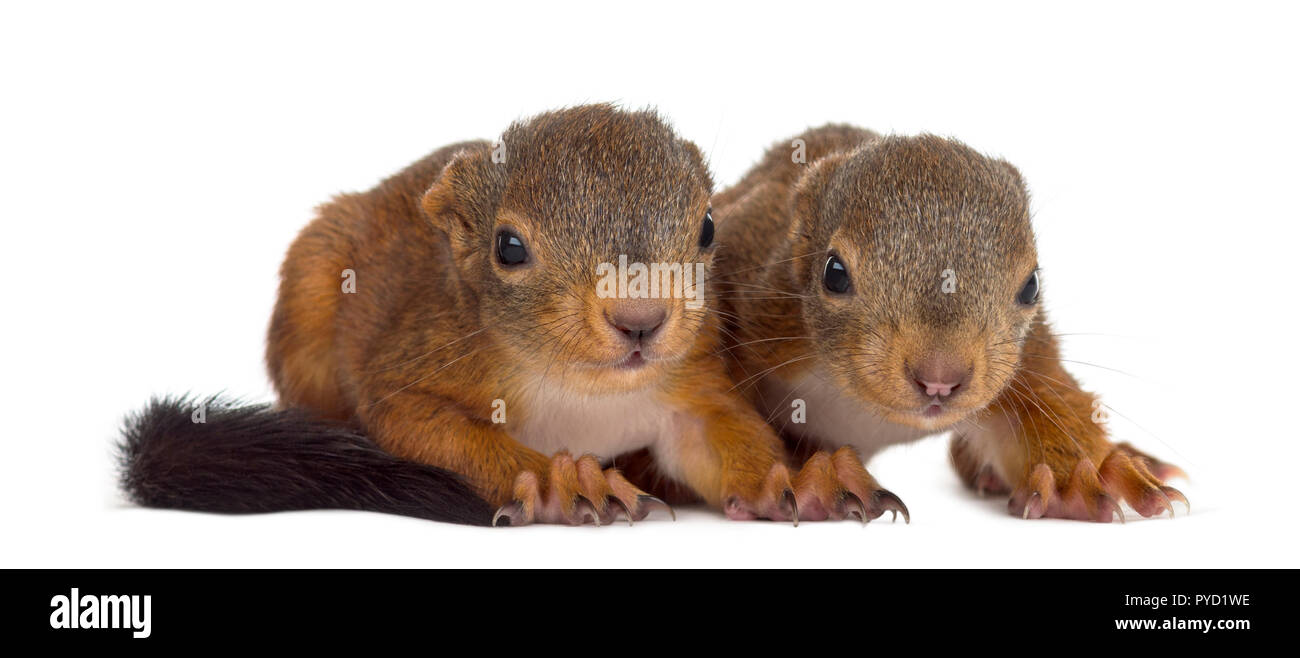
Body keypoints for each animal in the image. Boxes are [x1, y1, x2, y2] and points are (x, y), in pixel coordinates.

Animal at [118, 105, 891, 526]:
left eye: (706, 229)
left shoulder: (690, 388)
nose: (639, 319)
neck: (585, 390)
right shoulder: (420, 367)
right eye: (508, 247)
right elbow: (431, 428)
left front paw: (800, 484)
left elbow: (724, 443)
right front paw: (557, 482)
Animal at [711, 125, 1188, 522]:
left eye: (1031, 286)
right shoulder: (760, 297)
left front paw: (1078, 481)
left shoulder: (1025, 360)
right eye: (834, 273)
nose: (940, 378)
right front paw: (794, 481)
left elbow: (1049, 402)